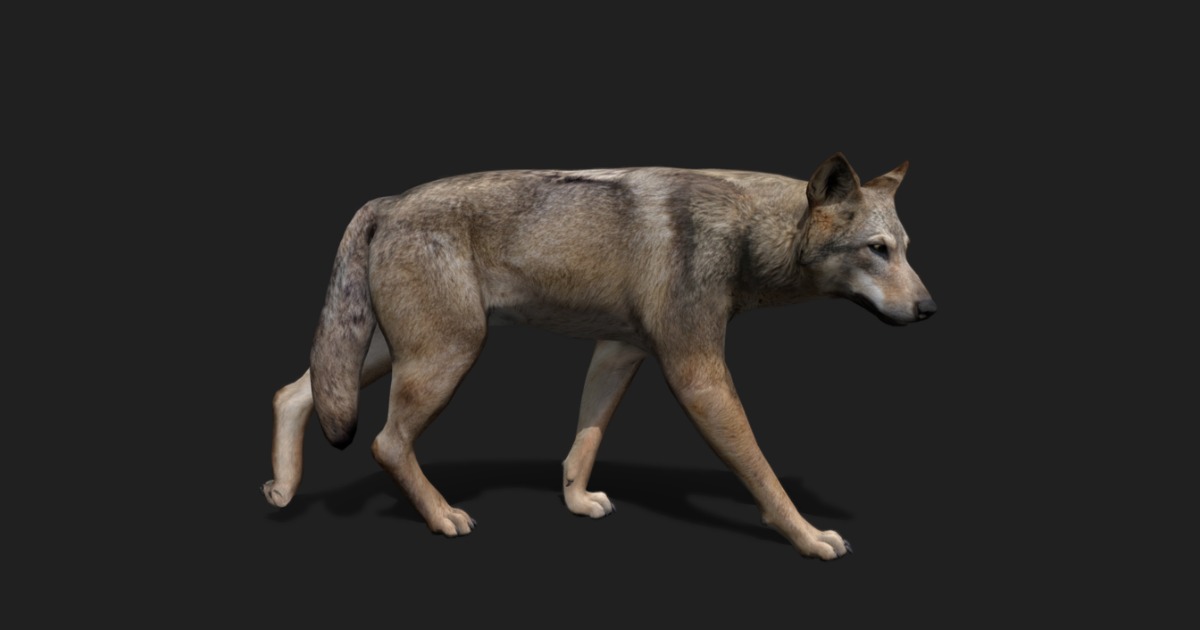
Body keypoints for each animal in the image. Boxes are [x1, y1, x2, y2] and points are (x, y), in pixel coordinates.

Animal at [261, 152, 936, 561]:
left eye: (904, 249)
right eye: (877, 249)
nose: (930, 308)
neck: (746, 234)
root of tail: (384, 200)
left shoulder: (618, 352)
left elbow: (584, 441)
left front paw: (576, 501)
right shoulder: (697, 374)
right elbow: (760, 470)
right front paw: (807, 536)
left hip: (393, 355)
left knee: (292, 392)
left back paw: (284, 489)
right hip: (445, 359)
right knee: (384, 443)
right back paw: (441, 516)